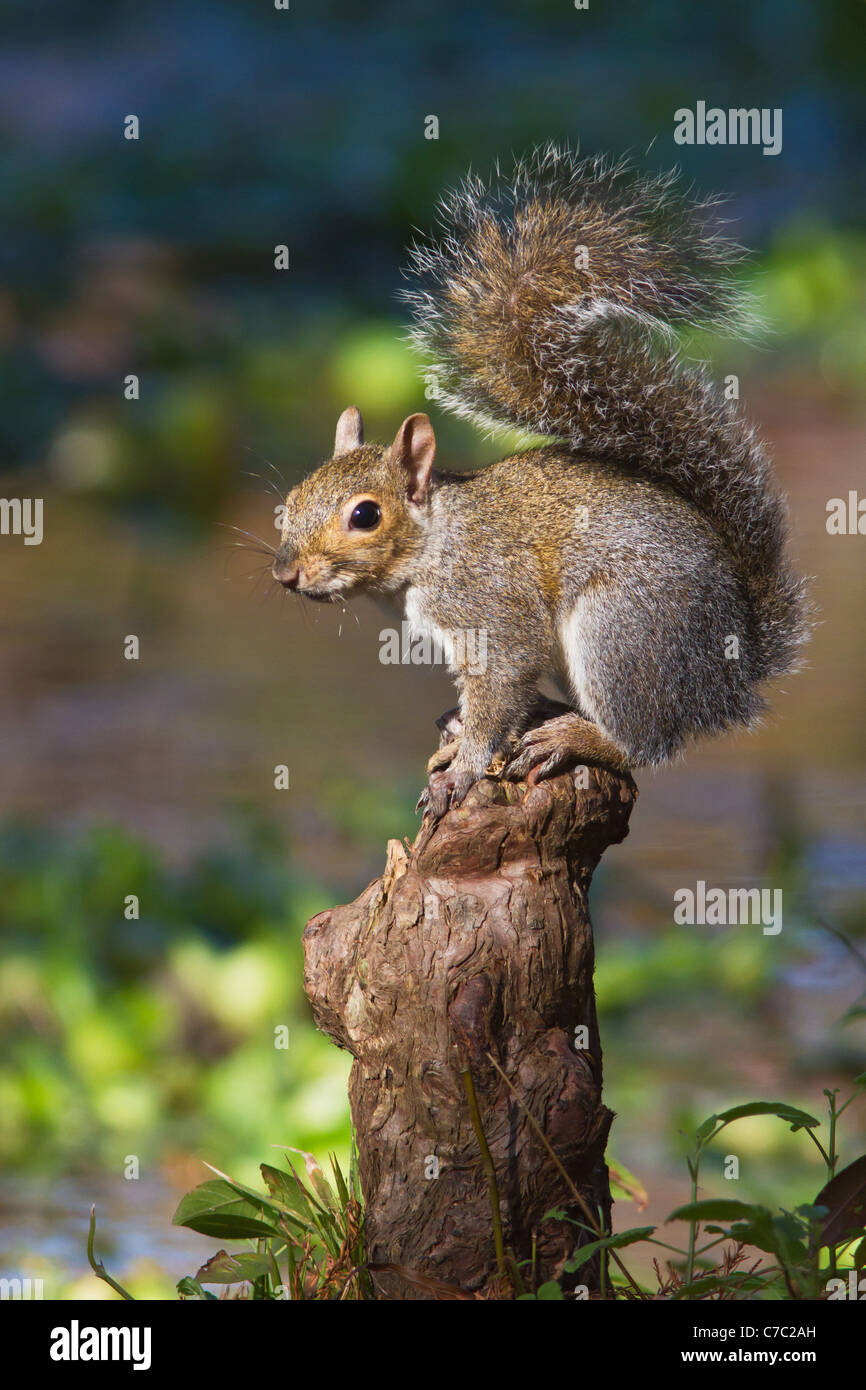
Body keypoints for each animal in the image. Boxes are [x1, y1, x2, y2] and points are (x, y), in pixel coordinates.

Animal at [272, 145, 808, 817]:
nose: (285, 574)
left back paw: (576, 737)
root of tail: (734, 673)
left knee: (642, 744)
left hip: (620, 631)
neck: (436, 542)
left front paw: (462, 771)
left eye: (365, 515)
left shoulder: (491, 611)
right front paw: (456, 738)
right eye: (290, 500)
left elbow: (501, 682)